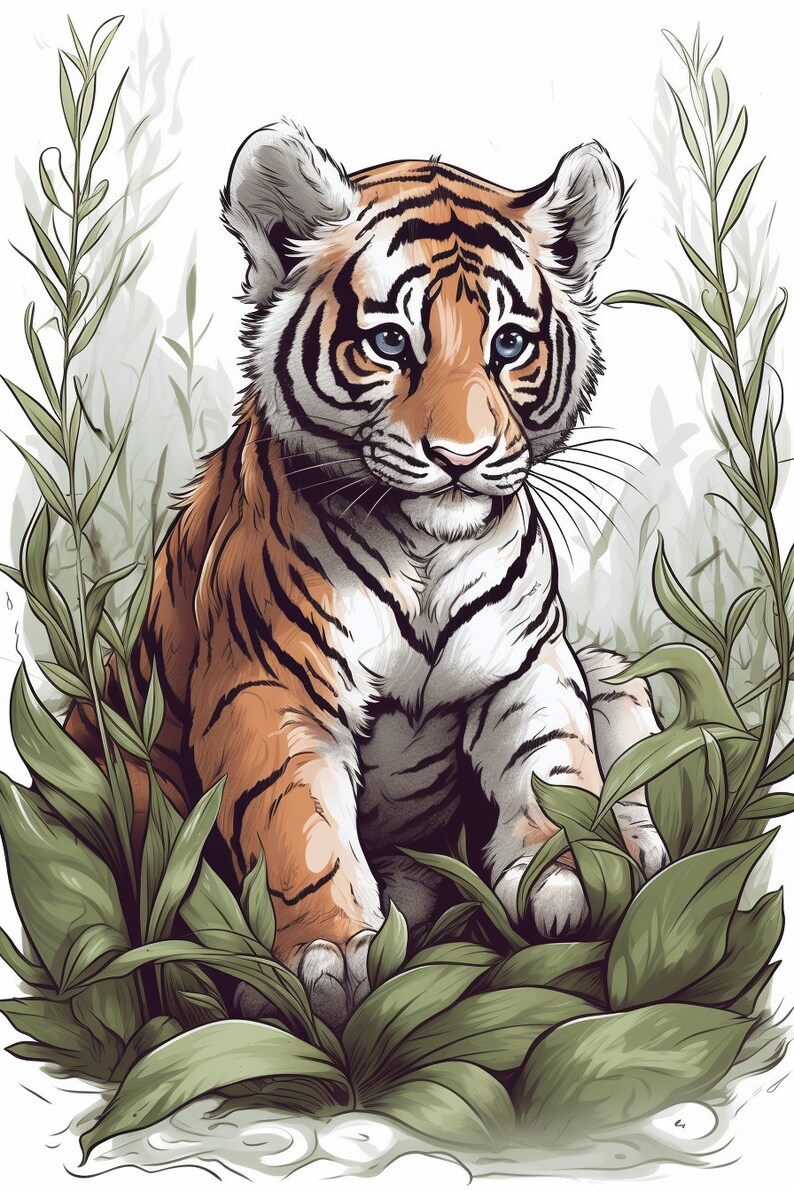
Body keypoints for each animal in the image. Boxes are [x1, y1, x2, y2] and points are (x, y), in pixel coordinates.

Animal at [67, 119, 666, 1029]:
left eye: (509, 345)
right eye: (390, 342)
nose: (461, 457)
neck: (427, 550)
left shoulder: (528, 661)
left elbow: (556, 757)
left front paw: (567, 870)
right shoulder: (270, 684)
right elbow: (300, 819)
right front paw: (328, 955)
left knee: (625, 691)